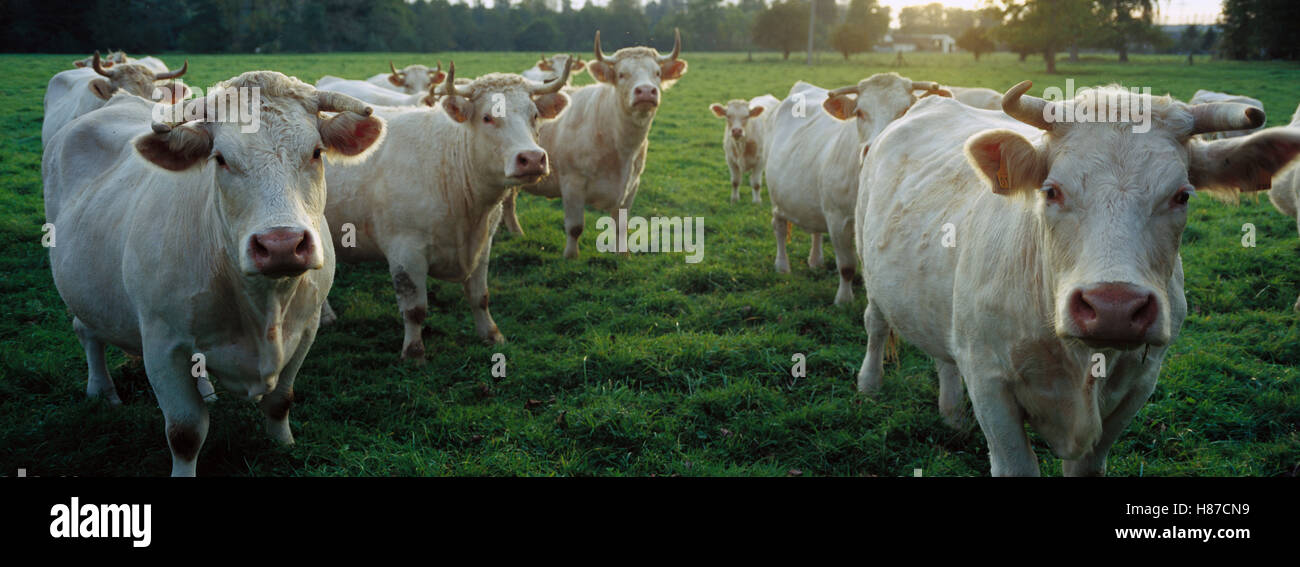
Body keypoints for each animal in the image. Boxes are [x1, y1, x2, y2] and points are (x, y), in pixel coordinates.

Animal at [43, 71, 385, 476]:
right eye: (220, 159)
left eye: (316, 152)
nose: (281, 244)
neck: (263, 306)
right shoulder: (162, 345)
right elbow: (185, 431)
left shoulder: (306, 328)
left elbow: (281, 400)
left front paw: (283, 445)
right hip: (78, 285)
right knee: (87, 333)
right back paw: (102, 391)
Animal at [322, 62, 572, 359]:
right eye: (487, 118)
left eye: (534, 115)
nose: (532, 158)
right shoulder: (405, 251)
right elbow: (415, 310)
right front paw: (414, 353)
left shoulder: (483, 244)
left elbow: (480, 297)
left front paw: (492, 335)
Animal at [505, 29, 687, 254]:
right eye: (621, 74)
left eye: (658, 73)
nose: (645, 91)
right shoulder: (572, 183)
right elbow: (575, 227)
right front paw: (570, 256)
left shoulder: (632, 186)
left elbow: (622, 227)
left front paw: (623, 255)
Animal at [764, 74, 948, 306]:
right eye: (860, 112)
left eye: (906, 110)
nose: (876, 147)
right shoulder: (838, 219)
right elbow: (847, 265)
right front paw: (843, 299)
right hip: (777, 196)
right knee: (779, 225)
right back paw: (782, 265)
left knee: (815, 228)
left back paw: (815, 260)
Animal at [853, 81, 1300, 476]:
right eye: (1052, 191)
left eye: (1182, 195)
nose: (1113, 307)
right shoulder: (989, 381)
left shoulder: (1137, 386)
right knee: (875, 324)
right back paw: (869, 384)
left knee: (943, 353)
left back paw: (952, 416)